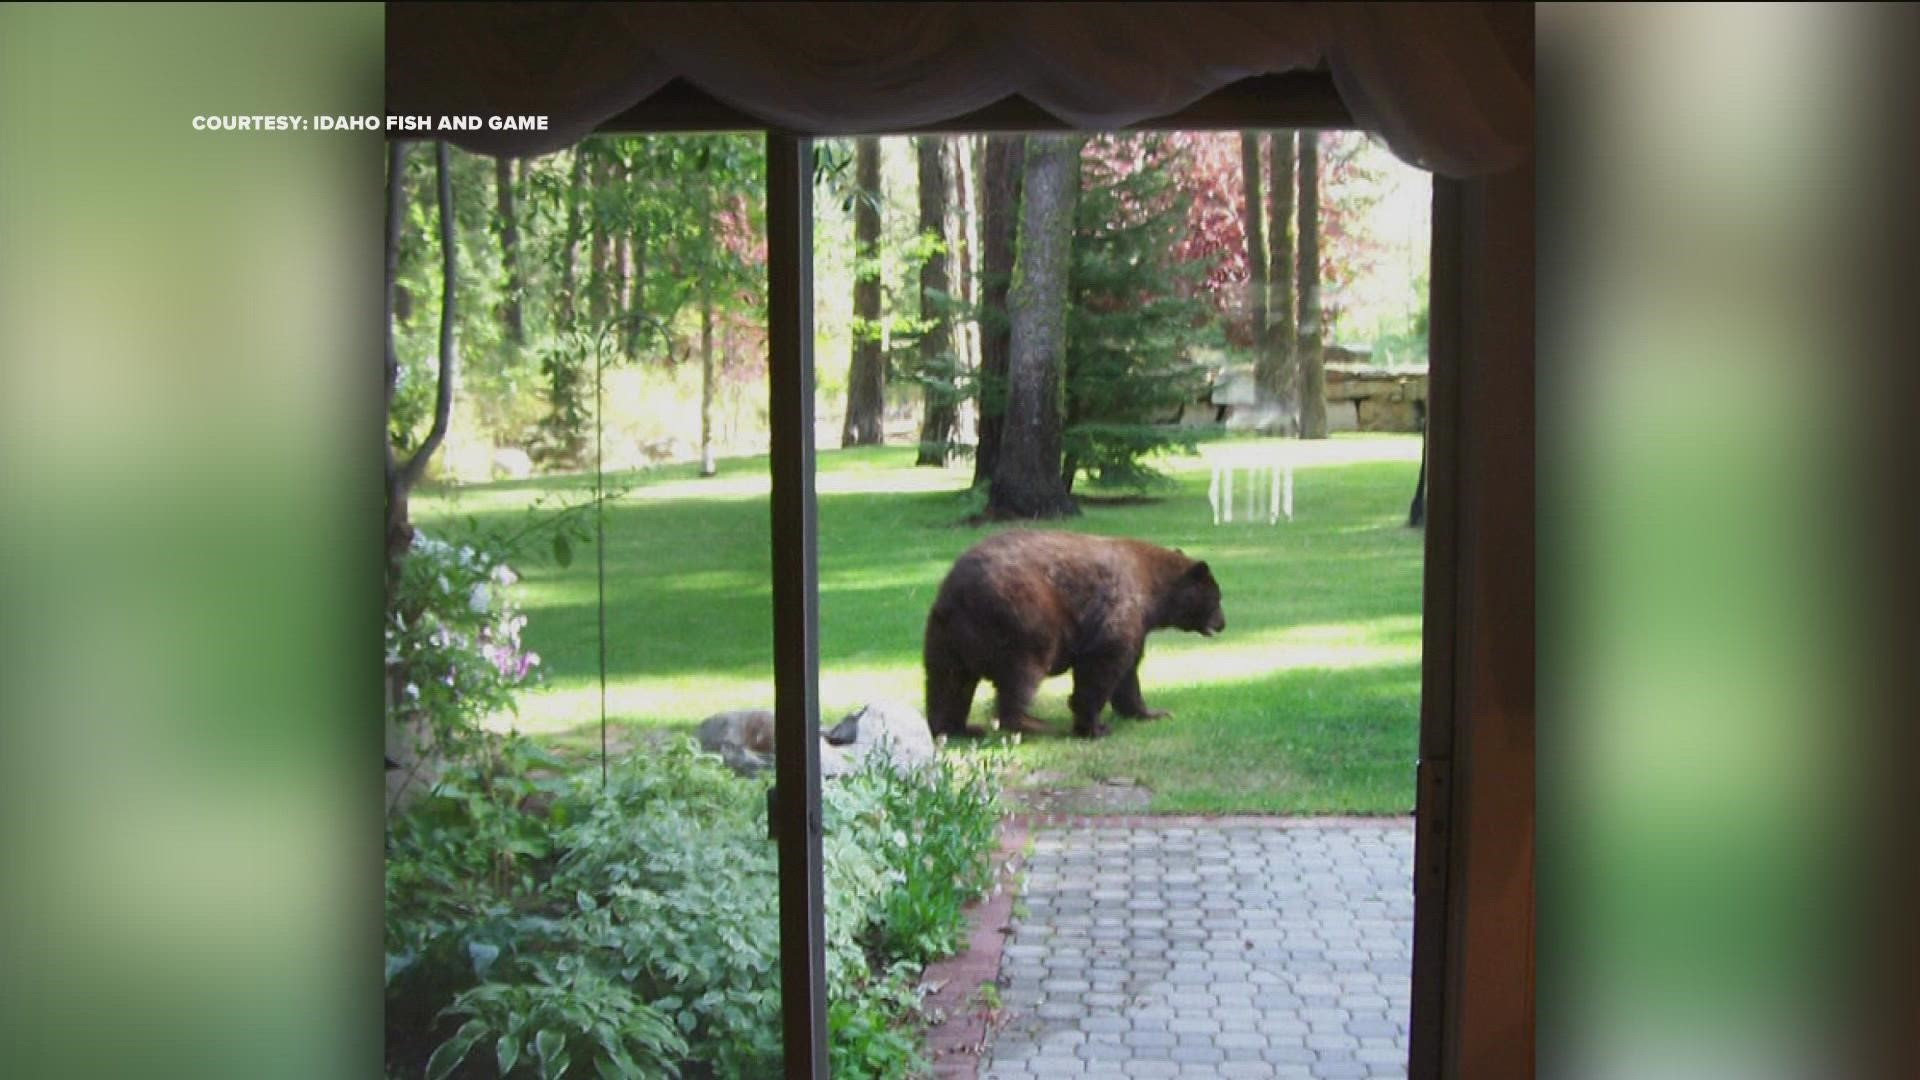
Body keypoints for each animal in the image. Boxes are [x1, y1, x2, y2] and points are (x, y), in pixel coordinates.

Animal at [923, 530, 1226, 740]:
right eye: (1217, 598)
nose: (1223, 623)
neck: (1152, 590)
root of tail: (956, 596)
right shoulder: (1119, 609)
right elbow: (1104, 663)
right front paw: (1094, 727)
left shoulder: (1137, 626)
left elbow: (1129, 671)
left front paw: (1151, 712)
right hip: (1022, 621)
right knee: (1021, 674)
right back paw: (1037, 724)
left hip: (945, 637)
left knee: (947, 681)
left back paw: (956, 727)